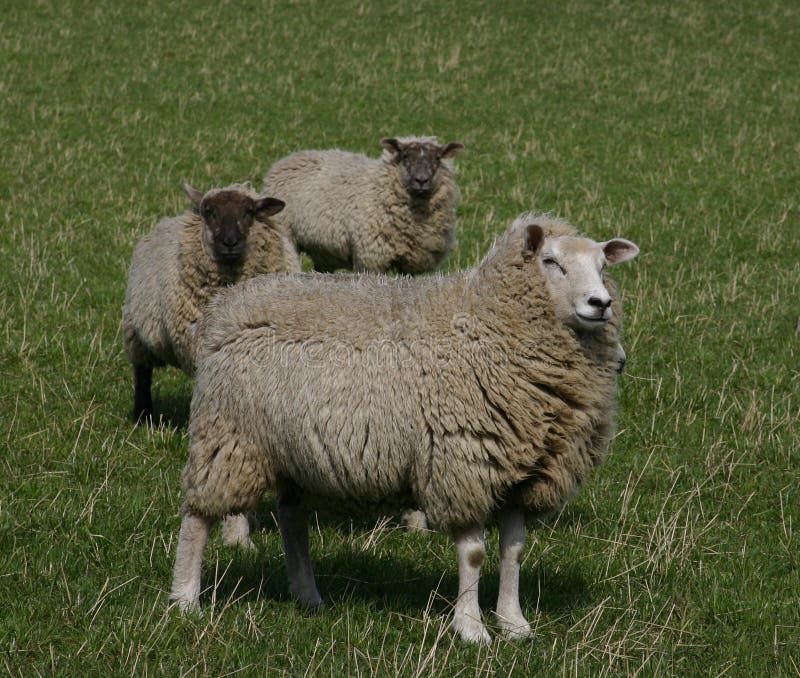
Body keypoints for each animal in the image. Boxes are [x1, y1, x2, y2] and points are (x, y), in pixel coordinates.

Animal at [122, 182, 300, 423]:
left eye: (249, 212)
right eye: (209, 211)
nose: (230, 242)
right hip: (136, 333)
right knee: (142, 373)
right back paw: (142, 414)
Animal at [168, 213, 639, 644]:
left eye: (602, 266)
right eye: (551, 261)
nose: (600, 303)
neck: (487, 321)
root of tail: (226, 306)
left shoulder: (521, 473)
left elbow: (515, 550)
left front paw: (514, 624)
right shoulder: (463, 462)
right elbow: (474, 554)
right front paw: (471, 629)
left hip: (292, 449)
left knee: (291, 516)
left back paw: (307, 595)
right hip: (229, 436)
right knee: (198, 516)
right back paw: (186, 599)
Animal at [263, 136, 464, 273]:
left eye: (437, 158)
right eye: (405, 156)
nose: (421, 180)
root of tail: (293, 156)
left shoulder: (411, 263)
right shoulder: (371, 259)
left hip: (322, 251)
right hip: (287, 235)